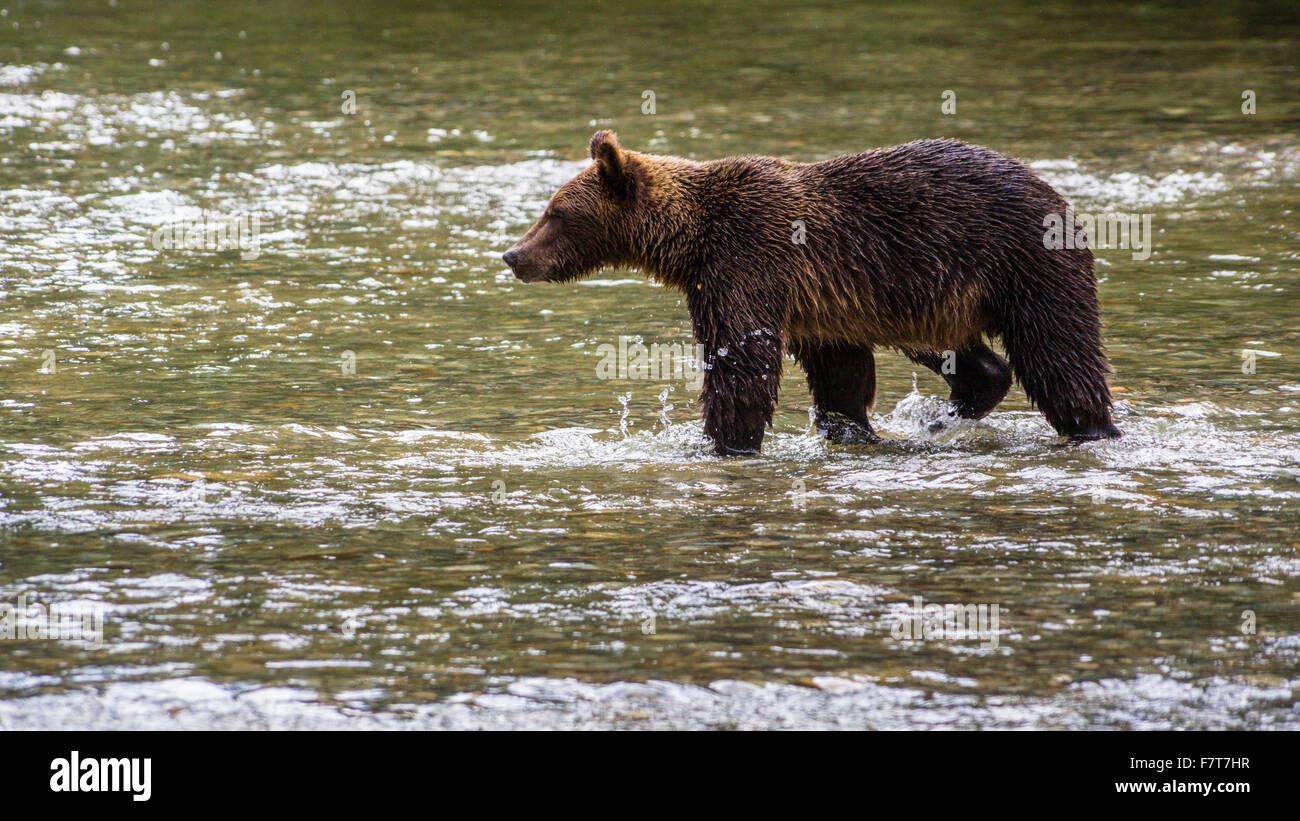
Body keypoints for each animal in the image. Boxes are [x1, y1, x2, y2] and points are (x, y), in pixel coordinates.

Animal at [503, 130, 1121, 455]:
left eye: (555, 213)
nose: (514, 255)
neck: (690, 240)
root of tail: (1061, 195)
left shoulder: (748, 259)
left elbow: (741, 361)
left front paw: (723, 441)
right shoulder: (822, 309)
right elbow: (840, 375)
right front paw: (849, 429)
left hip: (1021, 263)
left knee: (1058, 352)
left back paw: (1091, 426)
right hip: (924, 300)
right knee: (969, 355)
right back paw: (948, 413)